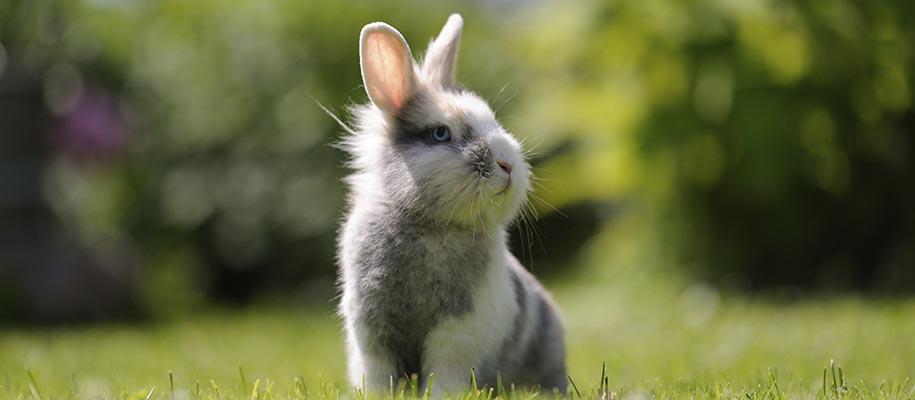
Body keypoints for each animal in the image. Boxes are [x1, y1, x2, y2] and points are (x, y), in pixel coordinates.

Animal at [336, 13, 566, 395]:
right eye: (440, 133)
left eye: (493, 121)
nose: (508, 166)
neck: (430, 227)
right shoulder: (372, 332)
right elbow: (379, 374)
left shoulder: (456, 330)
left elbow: (445, 371)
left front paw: (444, 395)